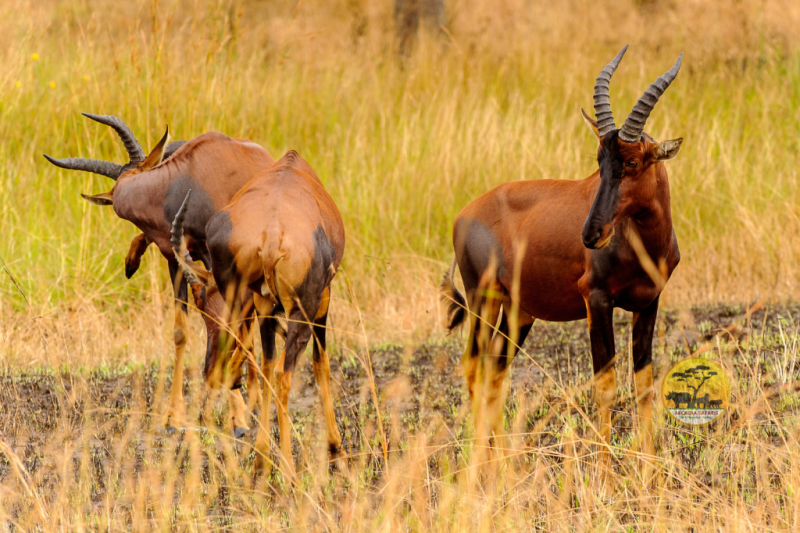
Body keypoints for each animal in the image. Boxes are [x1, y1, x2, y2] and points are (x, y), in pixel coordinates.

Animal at [44, 113, 277, 433]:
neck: (184, 181)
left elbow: (231, 324)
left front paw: (236, 416)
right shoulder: (178, 260)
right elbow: (181, 331)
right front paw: (173, 417)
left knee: (249, 326)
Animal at [171, 149, 344, 476]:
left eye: (203, 305)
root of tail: (272, 236)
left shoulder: (260, 306)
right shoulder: (323, 300)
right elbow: (321, 364)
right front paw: (335, 449)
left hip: (249, 301)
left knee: (263, 366)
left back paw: (260, 453)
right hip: (301, 311)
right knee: (282, 374)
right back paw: (288, 466)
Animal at [441, 46, 684, 474]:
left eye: (633, 162)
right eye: (599, 161)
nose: (591, 235)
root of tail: (464, 215)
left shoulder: (649, 302)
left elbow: (644, 383)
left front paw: (650, 473)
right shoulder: (597, 301)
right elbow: (605, 386)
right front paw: (605, 476)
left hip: (519, 312)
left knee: (496, 372)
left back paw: (508, 465)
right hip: (482, 300)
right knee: (474, 365)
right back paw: (484, 463)